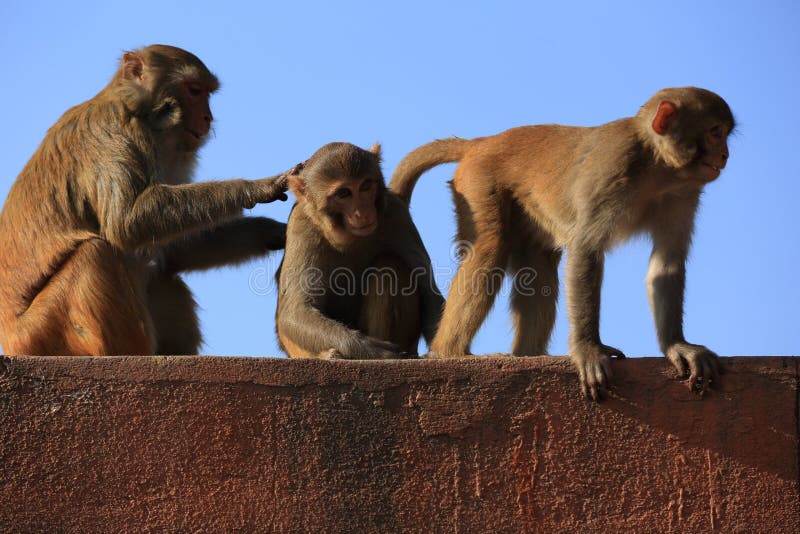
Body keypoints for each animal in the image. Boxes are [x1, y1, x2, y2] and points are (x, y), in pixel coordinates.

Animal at [0, 45, 289, 356]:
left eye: (207, 93)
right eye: (194, 90)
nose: (208, 117)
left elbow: (171, 247)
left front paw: (274, 232)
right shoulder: (111, 130)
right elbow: (126, 222)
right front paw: (255, 188)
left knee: (160, 273)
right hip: (41, 332)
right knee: (94, 253)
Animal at [275, 142, 444, 359]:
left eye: (365, 186)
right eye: (343, 193)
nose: (362, 213)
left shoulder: (397, 213)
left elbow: (427, 289)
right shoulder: (301, 224)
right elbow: (295, 312)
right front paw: (368, 349)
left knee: (390, 265)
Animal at [390, 87, 734, 400]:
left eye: (724, 134)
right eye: (715, 132)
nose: (725, 155)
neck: (657, 165)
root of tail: (483, 142)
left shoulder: (683, 192)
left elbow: (667, 263)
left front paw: (678, 346)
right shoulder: (615, 166)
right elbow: (586, 248)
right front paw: (588, 350)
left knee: (539, 265)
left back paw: (527, 355)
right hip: (478, 182)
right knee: (490, 248)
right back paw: (451, 353)